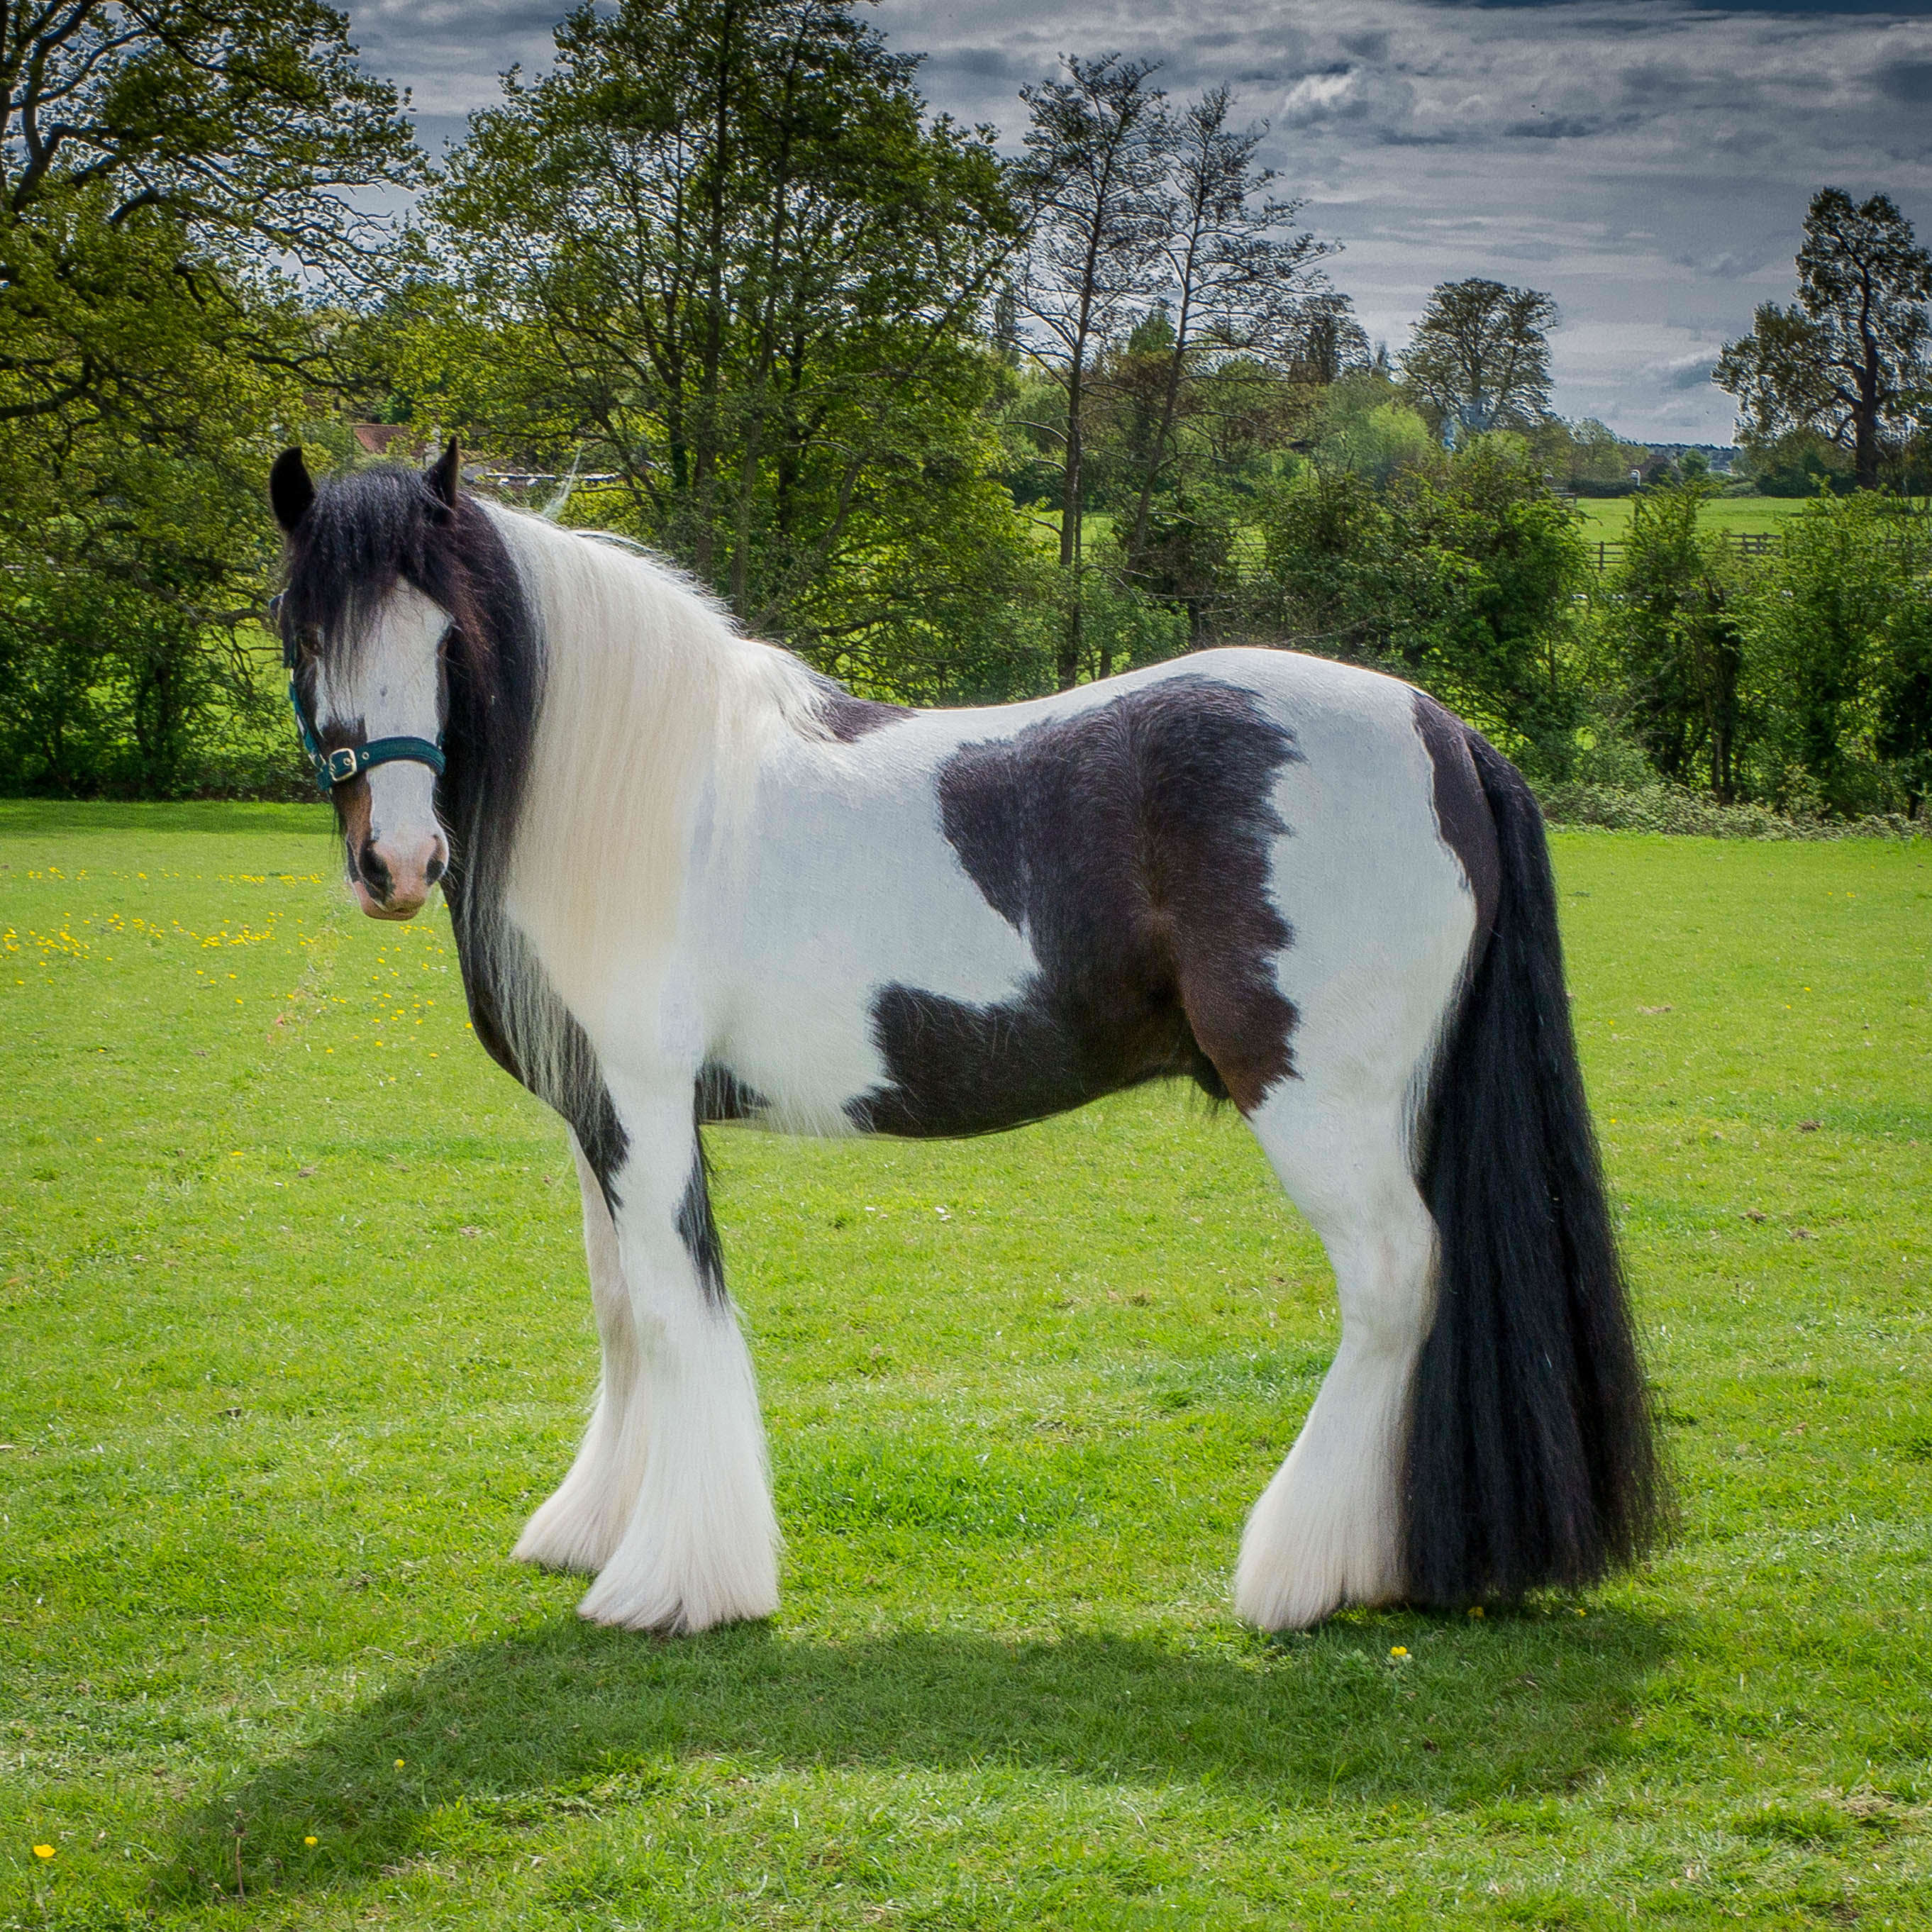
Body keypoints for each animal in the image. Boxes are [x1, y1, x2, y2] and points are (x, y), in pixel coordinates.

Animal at [268, 440, 1665, 1636]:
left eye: (447, 634)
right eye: (303, 630)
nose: (396, 865)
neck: (638, 793)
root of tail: (1447, 734)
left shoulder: (647, 1112)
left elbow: (671, 1317)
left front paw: (673, 1581)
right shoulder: (595, 1120)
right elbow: (618, 1312)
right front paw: (593, 1528)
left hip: (1319, 1104)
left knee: (1394, 1281)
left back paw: (1300, 1571)